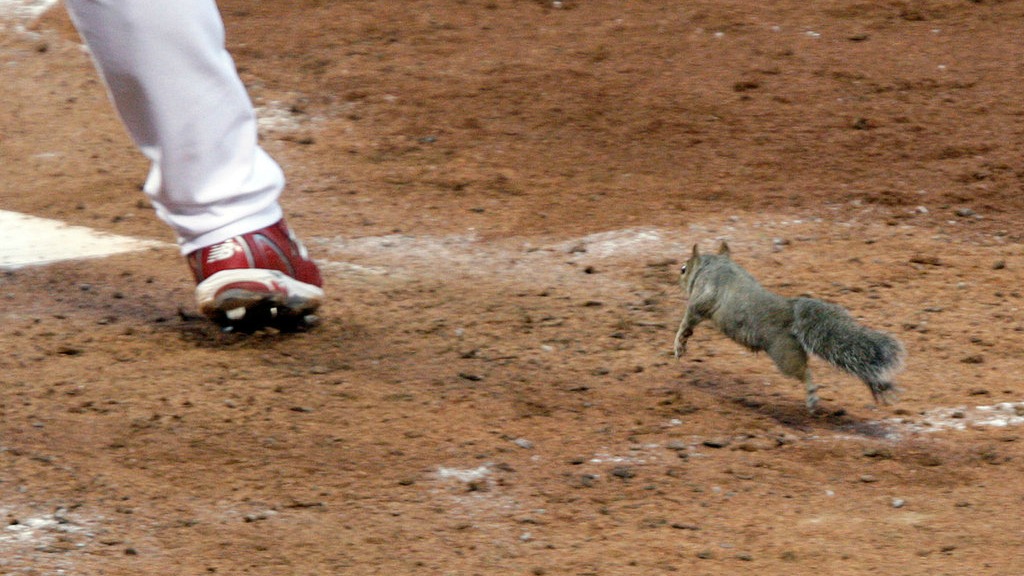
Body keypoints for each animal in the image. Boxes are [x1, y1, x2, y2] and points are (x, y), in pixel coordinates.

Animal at [673, 242, 905, 412]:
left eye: (684, 268)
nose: (679, 276)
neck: (715, 265)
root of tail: (791, 310)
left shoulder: (702, 298)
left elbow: (687, 320)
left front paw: (679, 344)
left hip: (783, 352)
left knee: (803, 371)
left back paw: (812, 396)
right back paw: (880, 386)